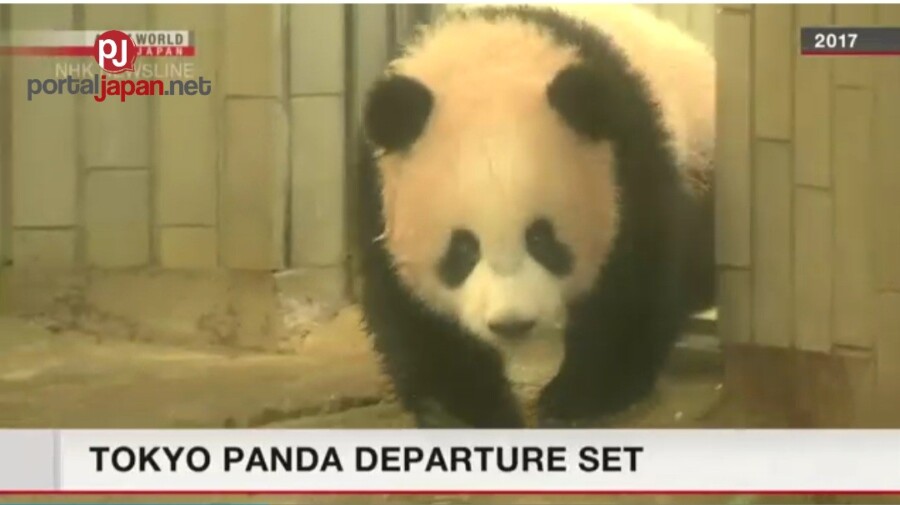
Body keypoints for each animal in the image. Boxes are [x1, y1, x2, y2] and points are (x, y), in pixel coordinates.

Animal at [357, 4, 716, 428]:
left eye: (541, 238)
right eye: (462, 249)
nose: (512, 324)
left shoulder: (629, 162)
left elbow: (630, 288)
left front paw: (575, 399)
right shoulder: (381, 199)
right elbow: (417, 317)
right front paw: (467, 413)